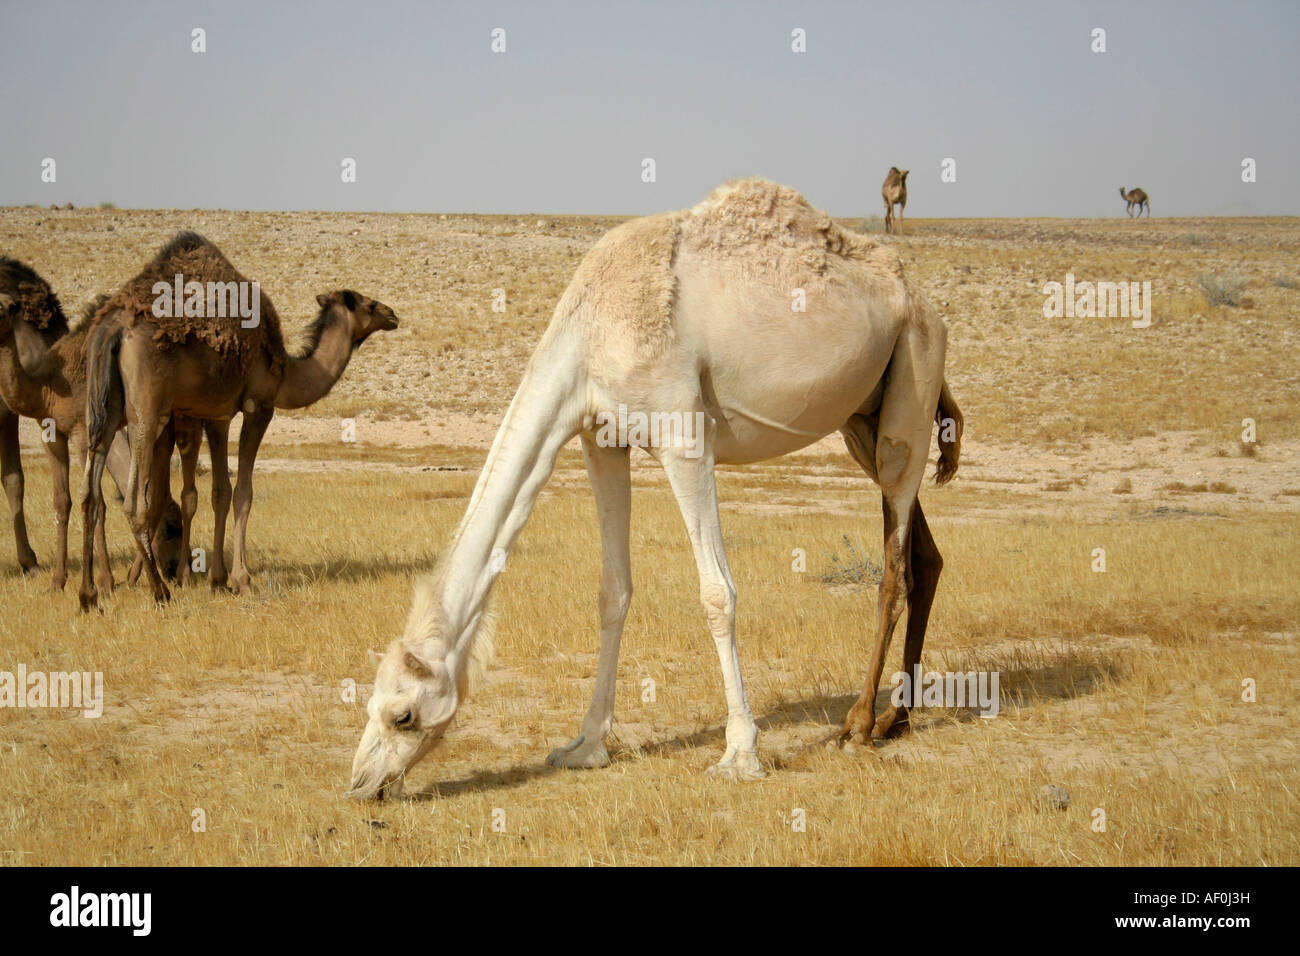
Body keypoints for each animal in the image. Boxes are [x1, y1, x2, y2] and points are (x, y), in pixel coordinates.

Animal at [0, 258, 183, 589]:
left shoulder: (72, 431)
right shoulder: (62, 431)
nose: (174, 570)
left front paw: (92, 580)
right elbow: (76, 500)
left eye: (8, 307)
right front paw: (80, 580)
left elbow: (83, 501)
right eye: (172, 529)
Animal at [79, 232, 399, 610]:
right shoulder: (258, 405)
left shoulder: (216, 413)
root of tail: (112, 327)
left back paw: (89, 594)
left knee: (90, 493)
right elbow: (244, 491)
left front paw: (216, 579)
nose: (393, 314)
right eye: (369, 303)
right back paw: (159, 591)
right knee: (134, 501)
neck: (288, 371)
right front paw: (241, 579)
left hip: (103, 405)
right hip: (146, 405)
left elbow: (220, 491)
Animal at [348, 178, 962, 799]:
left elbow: (717, 593)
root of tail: (924, 303)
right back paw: (895, 718)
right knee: (924, 552)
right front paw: (586, 746)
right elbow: (613, 591)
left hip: (913, 371)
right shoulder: (600, 436)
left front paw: (740, 754)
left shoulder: (682, 433)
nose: (361, 782)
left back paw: (858, 725)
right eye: (370, 706)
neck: (591, 331)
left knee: (895, 565)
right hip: (863, 418)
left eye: (402, 715)